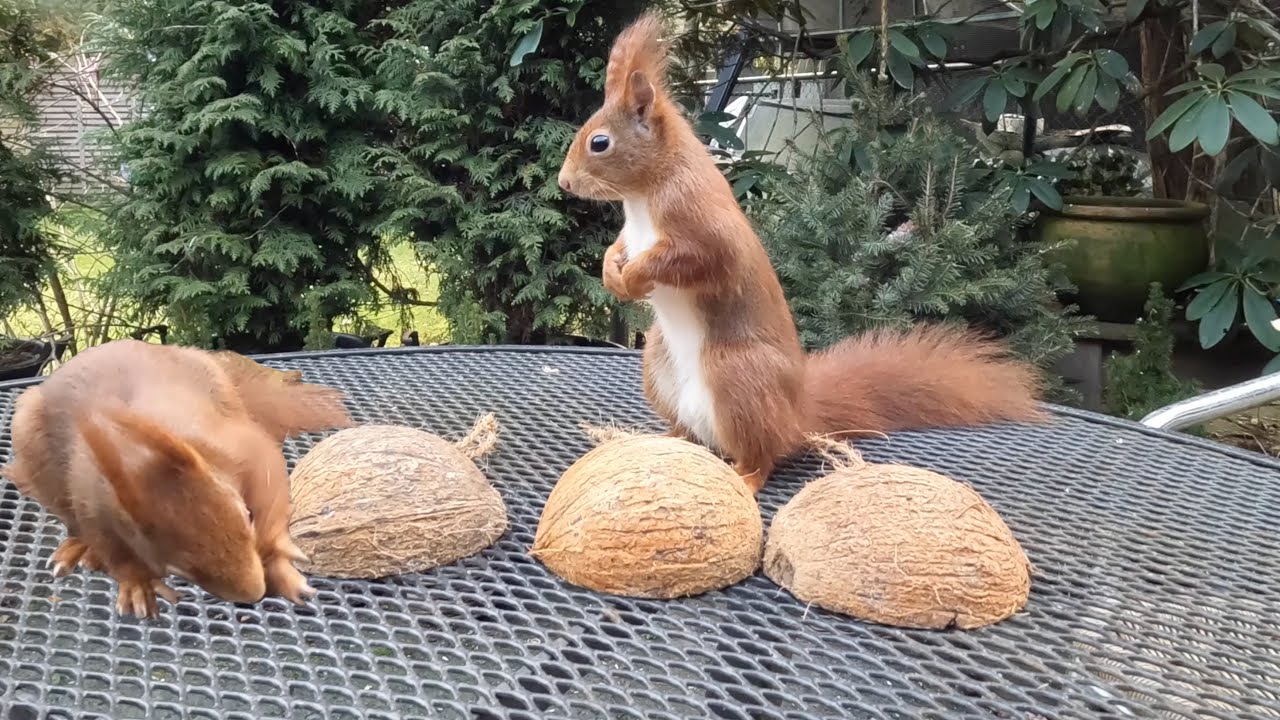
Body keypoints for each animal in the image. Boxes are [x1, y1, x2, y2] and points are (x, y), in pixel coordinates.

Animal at [1, 339, 352, 617]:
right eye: (176, 569)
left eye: (246, 516)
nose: (253, 594)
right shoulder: (92, 503)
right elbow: (113, 550)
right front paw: (137, 583)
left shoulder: (248, 450)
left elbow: (273, 500)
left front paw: (282, 563)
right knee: (73, 524)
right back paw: (78, 549)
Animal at [557, 11, 1045, 492]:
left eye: (599, 142)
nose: (563, 182)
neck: (643, 195)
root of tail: (795, 416)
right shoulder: (633, 232)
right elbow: (619, 247)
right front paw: (612, 272)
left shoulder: (701, 223)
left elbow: (694, 258)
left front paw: (636, 276)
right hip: (658, 363)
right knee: (690, 432)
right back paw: (663, 441)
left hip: (736, 374)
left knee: (762, 455)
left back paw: (743, 476)